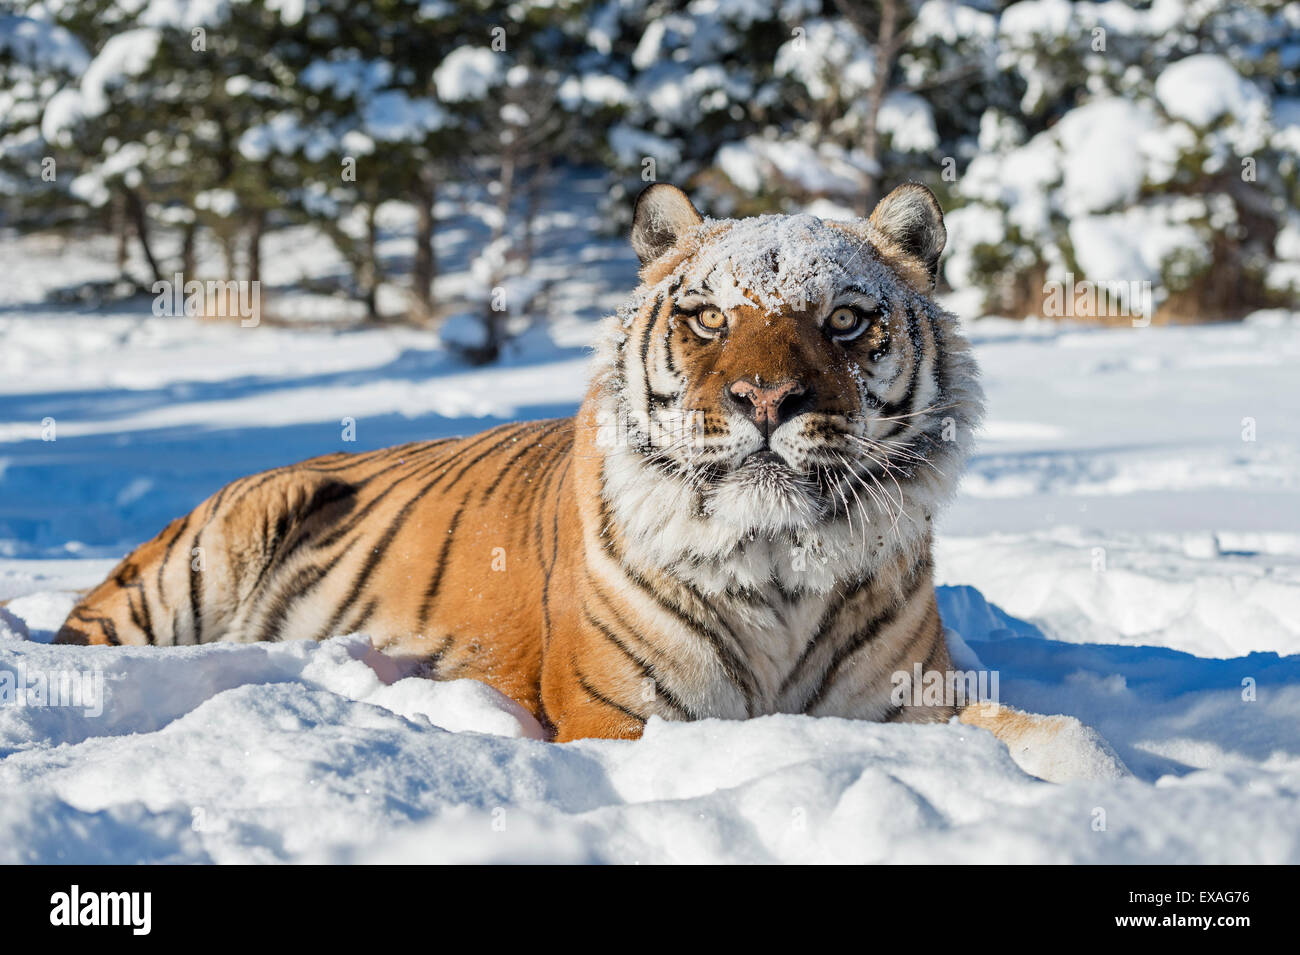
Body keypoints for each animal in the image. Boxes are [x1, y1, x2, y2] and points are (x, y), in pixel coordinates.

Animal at [56, 182, 1119, 776]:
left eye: (847, 320)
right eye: (709, 317)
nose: (765, 400)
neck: (780, 563)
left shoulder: (912, 702)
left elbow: (1067, 738)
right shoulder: (624, 713)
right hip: (198, 559)